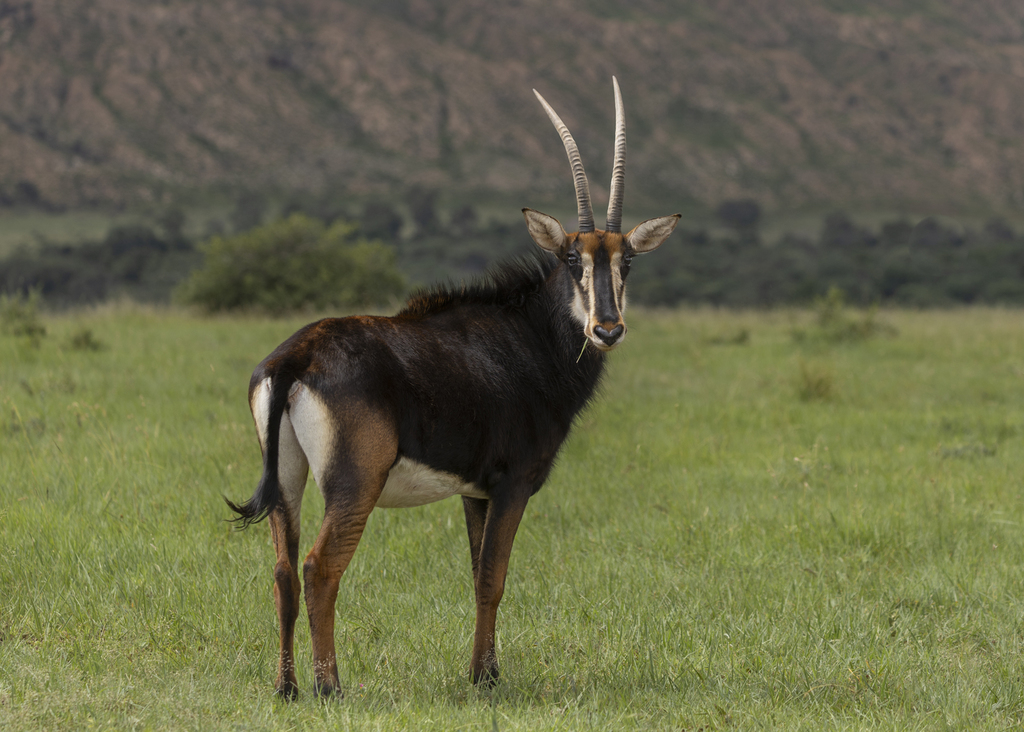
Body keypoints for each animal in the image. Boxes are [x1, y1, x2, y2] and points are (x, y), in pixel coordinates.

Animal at [227, 77, 680, 698]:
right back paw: (330, 687)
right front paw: (484, 679)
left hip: (288, 483)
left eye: (626, 259)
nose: (607, 329)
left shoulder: (475, 491)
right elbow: (493, 577)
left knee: (282, 571)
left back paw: (287, 687)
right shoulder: (512, 484)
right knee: (319, 568)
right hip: (354, 484)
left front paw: (484, 670)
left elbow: (474, 573)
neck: (531, 335)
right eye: (572, 257)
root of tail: (298, 356)